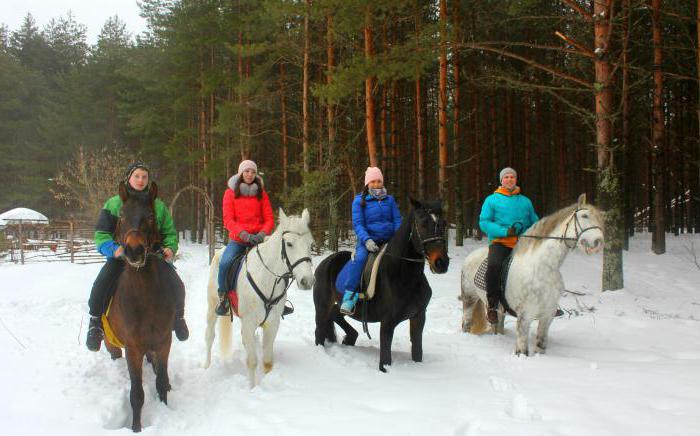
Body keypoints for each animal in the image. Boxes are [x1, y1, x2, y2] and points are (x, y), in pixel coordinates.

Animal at [102, 181, 183, 432]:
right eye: (121, 215)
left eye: (150, 216)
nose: (134, 251)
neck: (144, 298)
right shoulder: (133, 349)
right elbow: (136, 394)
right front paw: (136, 427)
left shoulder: (164, 342)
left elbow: (161, 381)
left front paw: (165, 408)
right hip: (113, 346)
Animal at [205, 209, 314, 386]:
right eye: (289, 244)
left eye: (310, 244)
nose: (307, 281)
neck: (267, 278)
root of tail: (220, 252)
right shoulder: (249, 322)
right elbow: (252, 361)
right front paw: (252, 388)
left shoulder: (272, 324)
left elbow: (267, 361)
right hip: (212, 306)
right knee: (209, 336)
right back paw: (206, 366)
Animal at [462, 193, 604, 354]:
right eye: (584, 215)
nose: (598, 242)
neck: (543, 268)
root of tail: (470, 256)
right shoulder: (525, 316)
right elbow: (522, 349)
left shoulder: (547, 315)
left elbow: (541, 345)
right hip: (469, 298)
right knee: (466, 322)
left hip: (499, 309)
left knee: (497, 325)